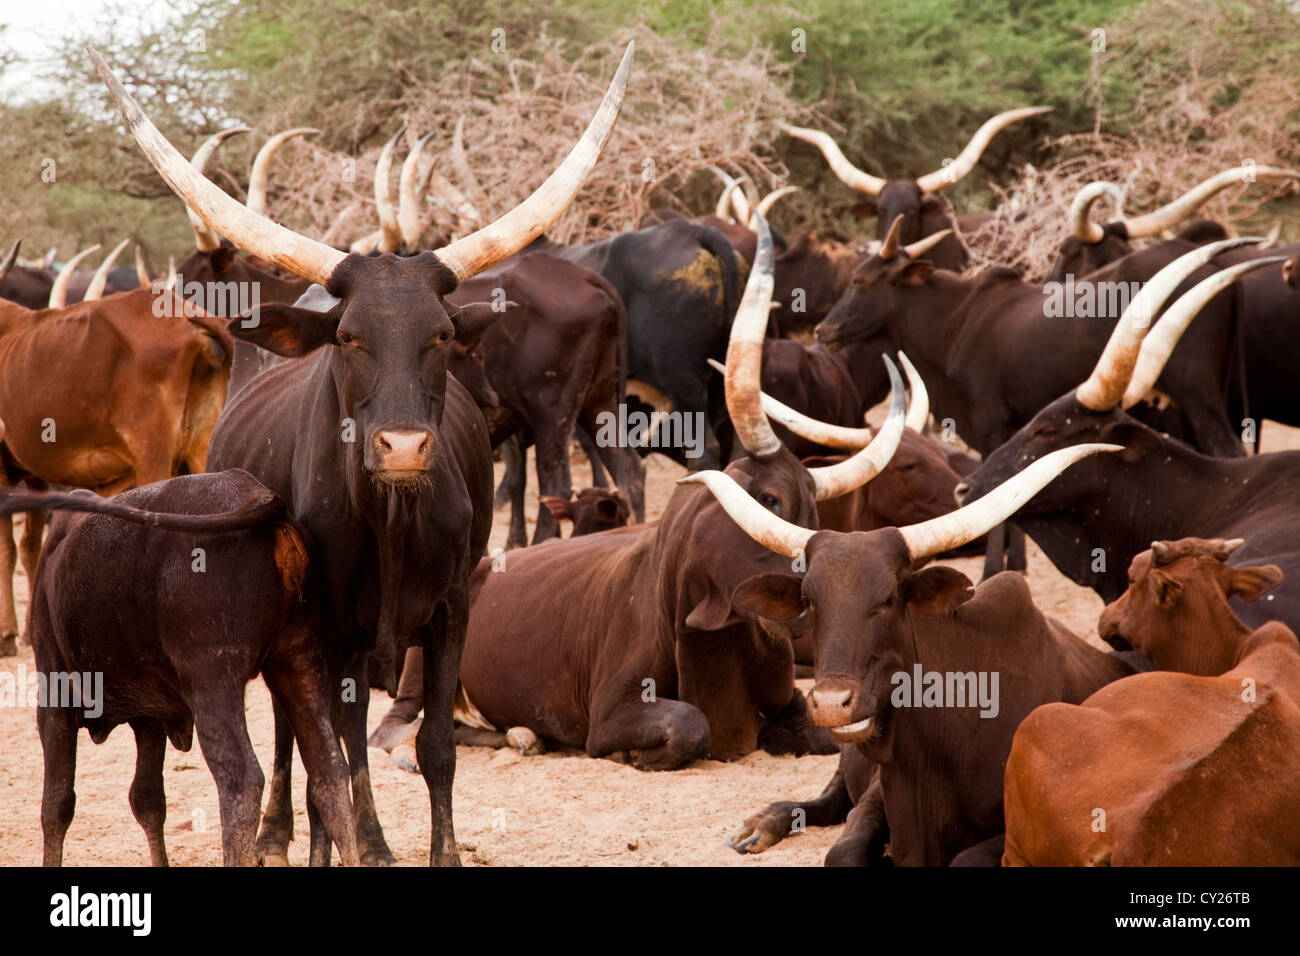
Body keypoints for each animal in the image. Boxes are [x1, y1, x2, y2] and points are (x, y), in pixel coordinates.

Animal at [0, 471, 359, 867]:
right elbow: (147, 800)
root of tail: (257, 494)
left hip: (212, 681)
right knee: (330, 771)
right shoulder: (151, 716)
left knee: (241, 780)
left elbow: (57, 805)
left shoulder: (54, 698)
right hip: (298, 663)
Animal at [93, 41, 633, 866]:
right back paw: (287, 830)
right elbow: (333, 760)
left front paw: (440, 851)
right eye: (349, 337)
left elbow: (434, 749)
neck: (392, 521)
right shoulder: (327, 628)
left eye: (441, 334)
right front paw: (344, 841)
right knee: (307, 740)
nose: (403, 446)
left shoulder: (453, 609)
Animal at [367, 212, 909, 772]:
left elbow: (826, 735)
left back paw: (521, 733)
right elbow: (689, 723)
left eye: (814, 513)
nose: (806, 607)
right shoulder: (611, 709)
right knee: (396, 726)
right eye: (770, 500)